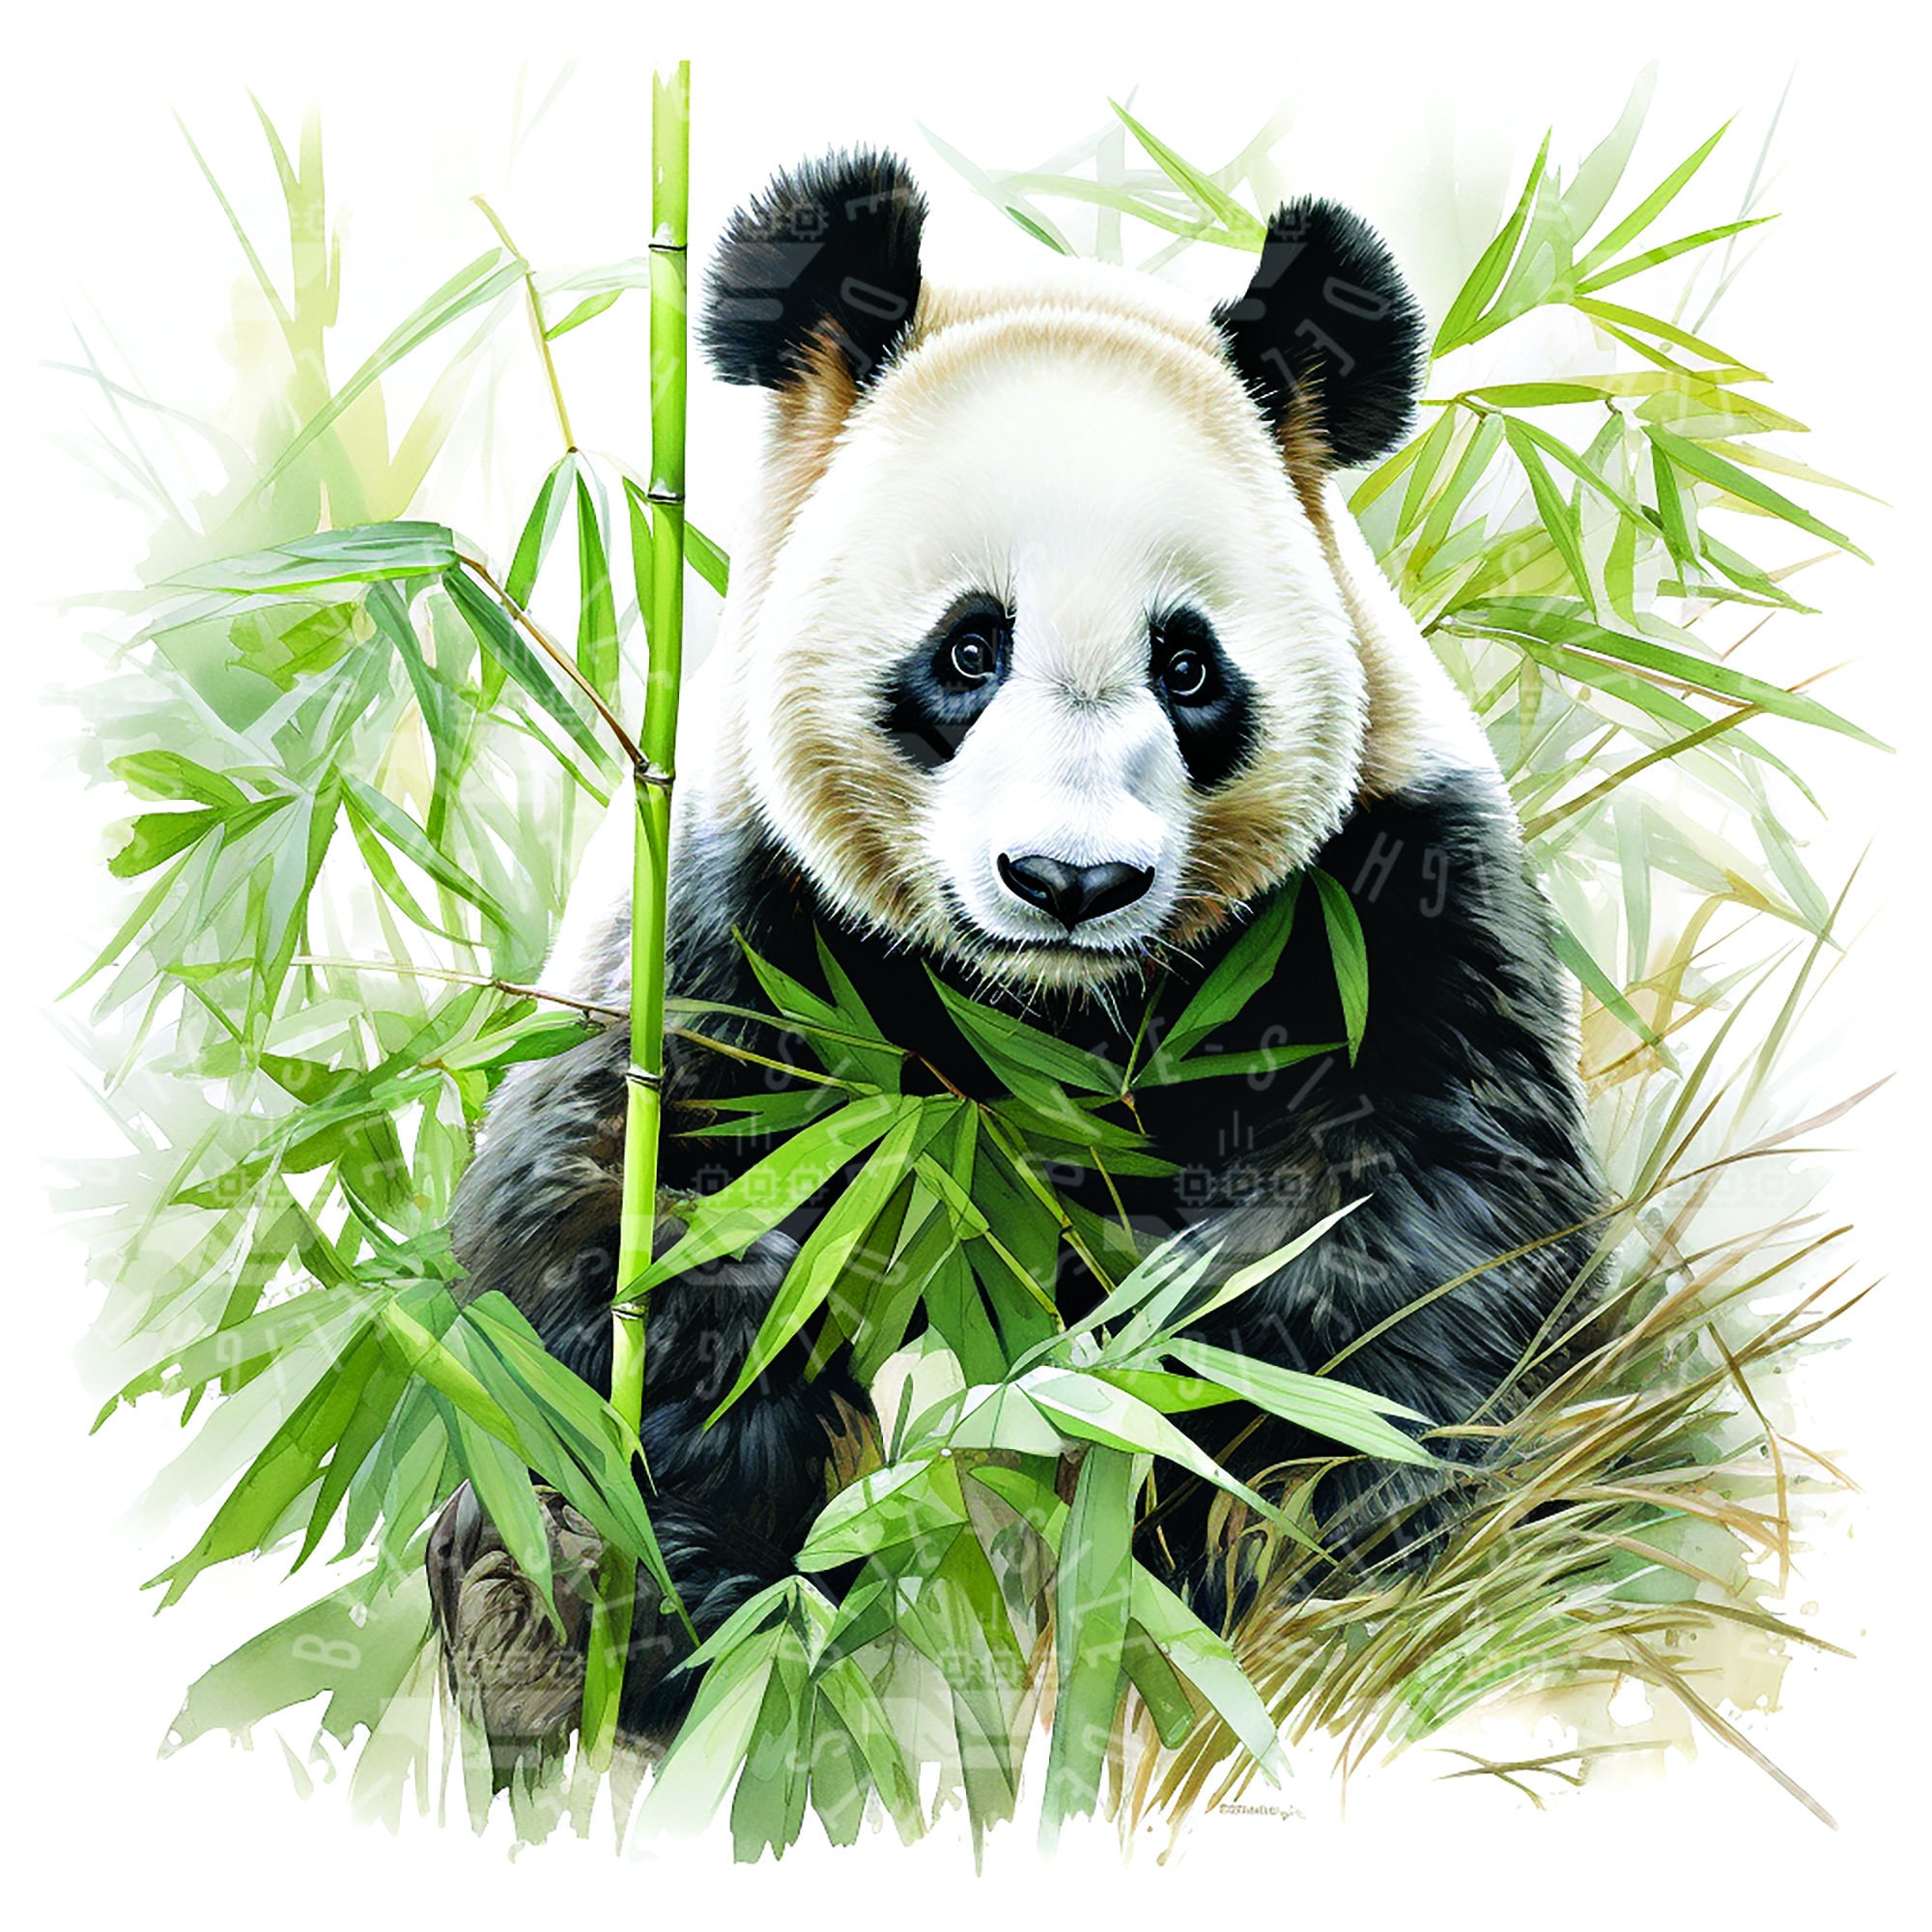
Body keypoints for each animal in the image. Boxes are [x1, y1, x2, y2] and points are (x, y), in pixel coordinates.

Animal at [427, 149, 1602, 1764]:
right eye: (970, 650)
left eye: (1190, 666)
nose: (1070, 880)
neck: (1052, 1018)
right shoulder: (741, 931)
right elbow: (648, 1225)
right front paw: (618, 1607)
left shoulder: (1384, 896)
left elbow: (1406, 1233)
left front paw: (1284, 1533)